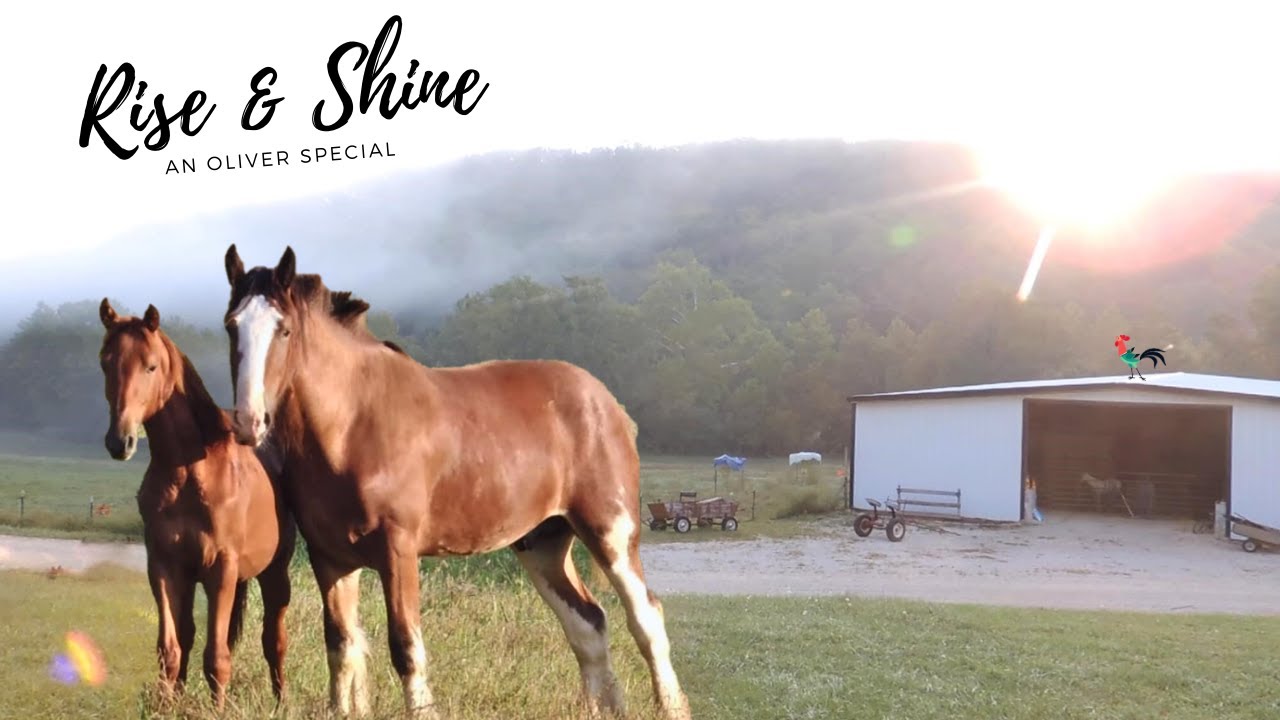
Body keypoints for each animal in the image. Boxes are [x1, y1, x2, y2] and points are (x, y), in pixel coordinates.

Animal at [97, 299, 297, 709]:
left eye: (151, 366)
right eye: (105, 363)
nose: (120, 441)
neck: (189, 473)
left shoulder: (221, 569)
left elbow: (217, 657)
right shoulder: (164, 567)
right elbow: (171, 647)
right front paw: (167, 707)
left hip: (275, 574)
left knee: (275, 641)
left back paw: (281, 703)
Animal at [221, 245, 691, 720]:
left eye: (283, 330)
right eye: (231, 326)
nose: (249, 422)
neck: (353, 425)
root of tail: (607, 403)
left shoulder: (398, 553)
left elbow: (406, 648)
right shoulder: (330, 558)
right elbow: (342, 645)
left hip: (610, 533)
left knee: (646, 618)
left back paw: (671, 704)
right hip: (543, 543)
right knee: (588, 623)